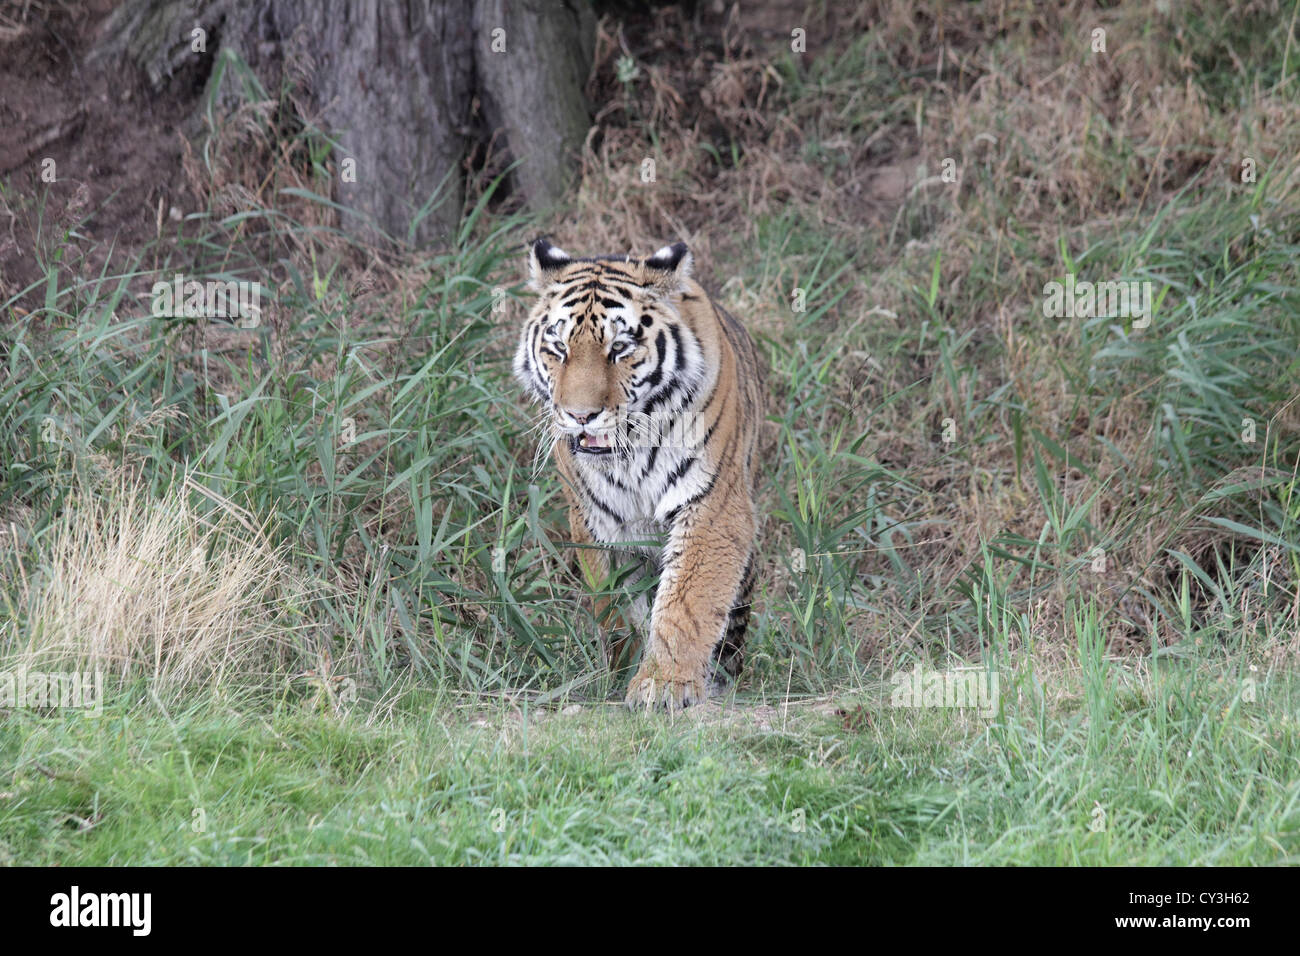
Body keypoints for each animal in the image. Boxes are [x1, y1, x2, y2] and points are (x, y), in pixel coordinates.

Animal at [513, 237, 765, 712]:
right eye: (559, 348)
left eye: (620, 348)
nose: (580, 416)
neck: (630, 454)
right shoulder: (596, 521)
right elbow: (615, 607)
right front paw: (623, 673)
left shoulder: (712, 507)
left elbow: (686, 602)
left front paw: (663, 686)